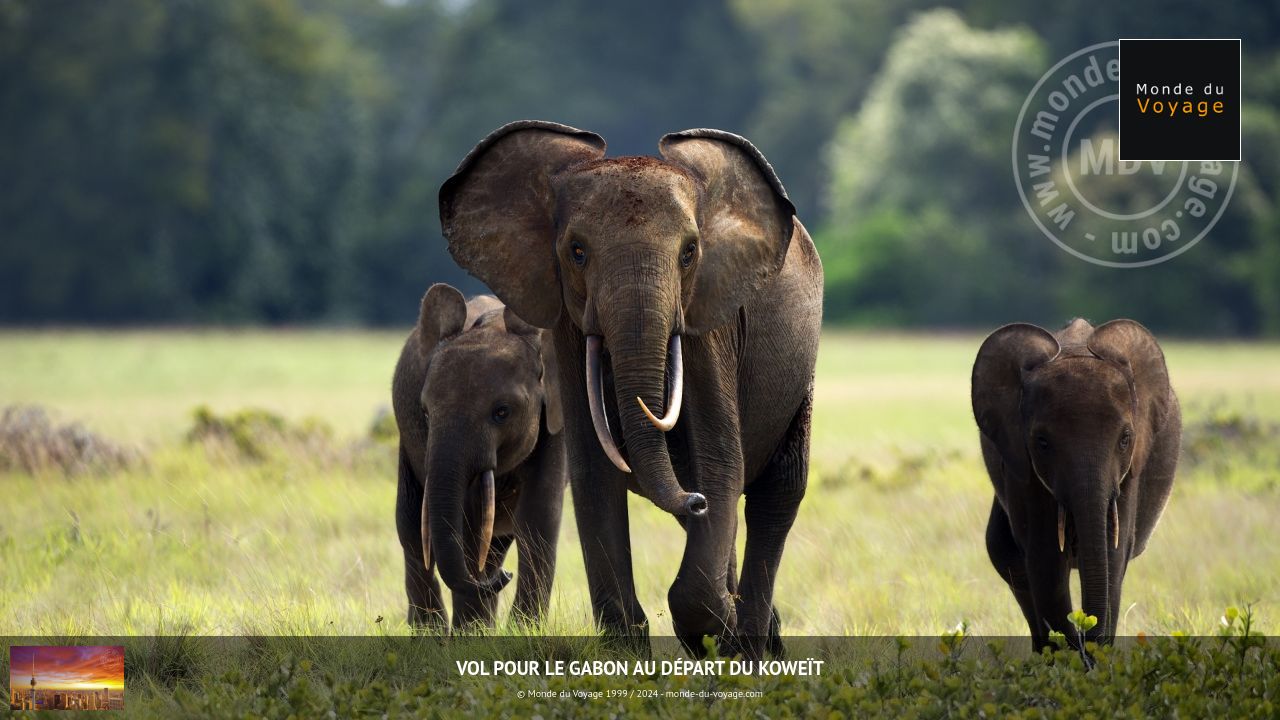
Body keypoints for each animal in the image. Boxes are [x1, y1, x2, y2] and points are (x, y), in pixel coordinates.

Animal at [391, 280, 568, 627]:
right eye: (426, 413)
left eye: (502, 412)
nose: (504, 577)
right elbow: (467, 520)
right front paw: (472, 632)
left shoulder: (558, 419)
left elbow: (538, 513)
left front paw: (524, 628)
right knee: (410, 521)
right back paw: (431, 629)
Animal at [437, 119, 819, 655]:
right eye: (577, 252)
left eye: (689, 253)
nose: (695, 500)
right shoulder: (566, 324)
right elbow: (594, 469)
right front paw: (632, 652)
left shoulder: (709, 320)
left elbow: (719, 458)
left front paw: (715, 630)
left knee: (777, 493)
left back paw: (749, 645)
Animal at [977, 317, 1177, 645]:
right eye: (1042, 443)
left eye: (1125, 439)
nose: (1086, 635)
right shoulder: (1023, 468)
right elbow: (1045, 559)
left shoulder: (1130, 473)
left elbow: (1112, 555)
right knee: (1008, 560)